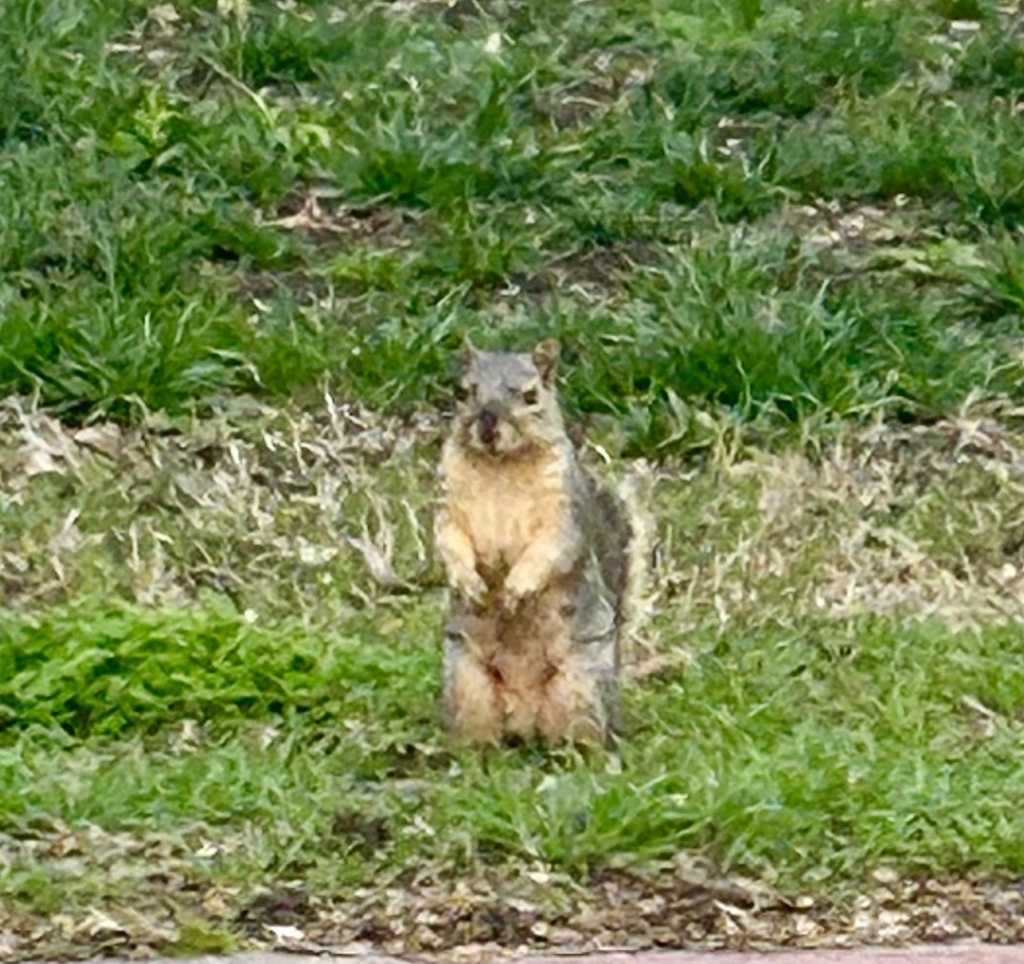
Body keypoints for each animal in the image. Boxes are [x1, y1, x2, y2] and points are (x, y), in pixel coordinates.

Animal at [434, 338, 644, 745]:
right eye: (464, 392)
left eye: (531, 396)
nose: (488, 427)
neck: (501, 465)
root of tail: (524, 716)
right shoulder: (448, 505)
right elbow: (448, 539)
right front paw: (468, 582)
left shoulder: (563, 513)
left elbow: (549, 549)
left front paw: (516, 588)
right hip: (468, 684)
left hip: (581, 687)